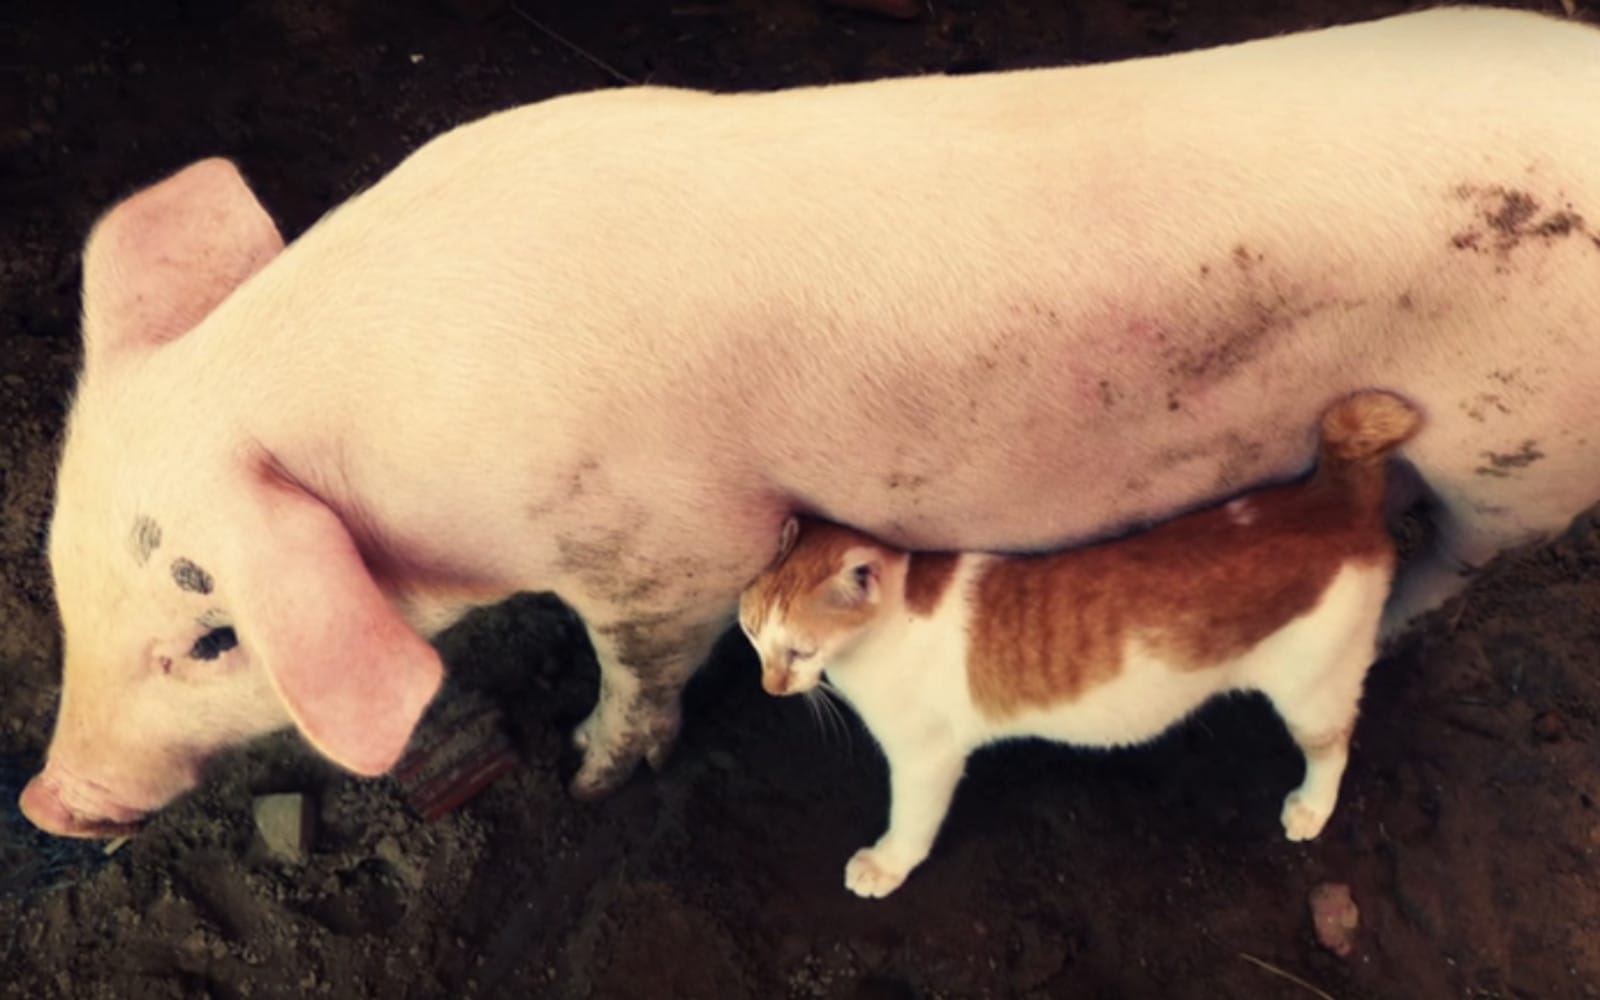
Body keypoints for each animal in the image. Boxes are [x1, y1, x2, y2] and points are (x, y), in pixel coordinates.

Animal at [20, 7, 1600, 837]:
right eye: (59, 584)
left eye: (211, 636)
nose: (47, 800)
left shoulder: (668, 545)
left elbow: (646, 667)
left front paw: (590, 777)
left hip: (1520, 449)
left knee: (1463, 551)